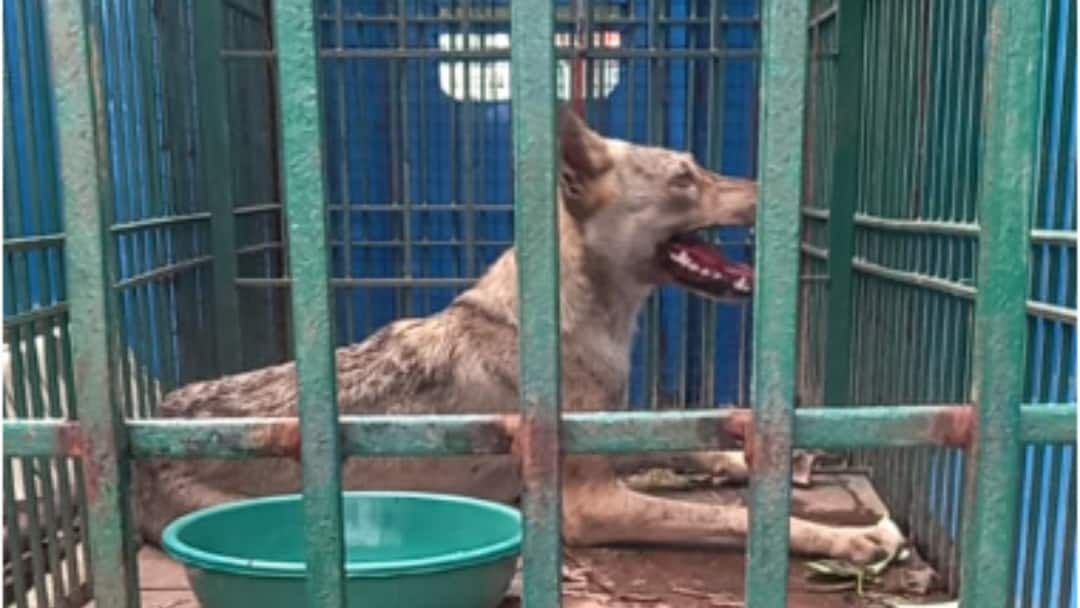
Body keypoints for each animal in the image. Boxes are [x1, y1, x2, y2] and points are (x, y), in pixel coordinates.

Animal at [137, 108, 904, 563]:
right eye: (686, 178)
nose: (788, 191)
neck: (581, 323)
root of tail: (150, 421)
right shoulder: (593, 504)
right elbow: (739, 521)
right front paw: (853, 537)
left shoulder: (609, 436)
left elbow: (694, 444)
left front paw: (756, 460)